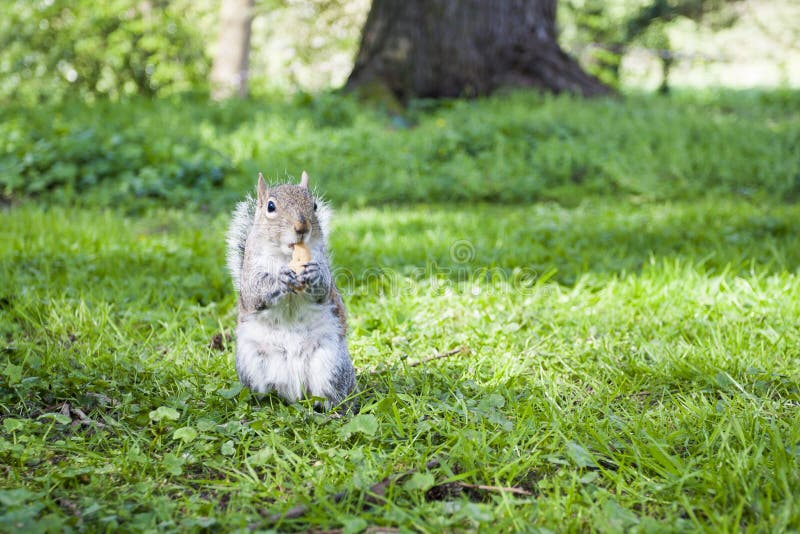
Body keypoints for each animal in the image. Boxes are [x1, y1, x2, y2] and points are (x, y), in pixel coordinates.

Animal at [226, 171, 356, 410]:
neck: (286, 256)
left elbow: (325, 288)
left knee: (336, 397)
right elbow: (254, 292)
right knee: (261, 394)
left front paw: (314, 275)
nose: (301, 227)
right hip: (251, 365)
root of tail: (294, 391)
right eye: (270, 206)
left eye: (314, 205)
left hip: (331, 365)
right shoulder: (250, 272)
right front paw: (279, 279)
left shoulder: (321, 260)